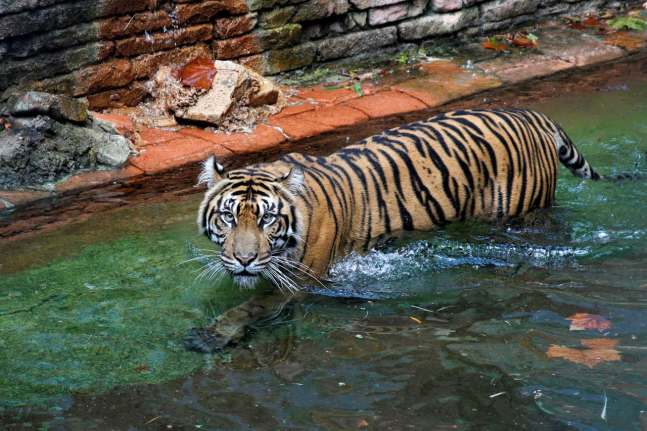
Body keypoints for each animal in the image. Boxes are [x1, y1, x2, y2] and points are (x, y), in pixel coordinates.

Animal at [184, 108, 600, 353]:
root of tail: (531, 114)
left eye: (268, 219)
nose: (244, 259)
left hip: (524, 216)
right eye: (228, 217)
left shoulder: (301, 281)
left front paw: (214, 334)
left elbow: (250, 306)